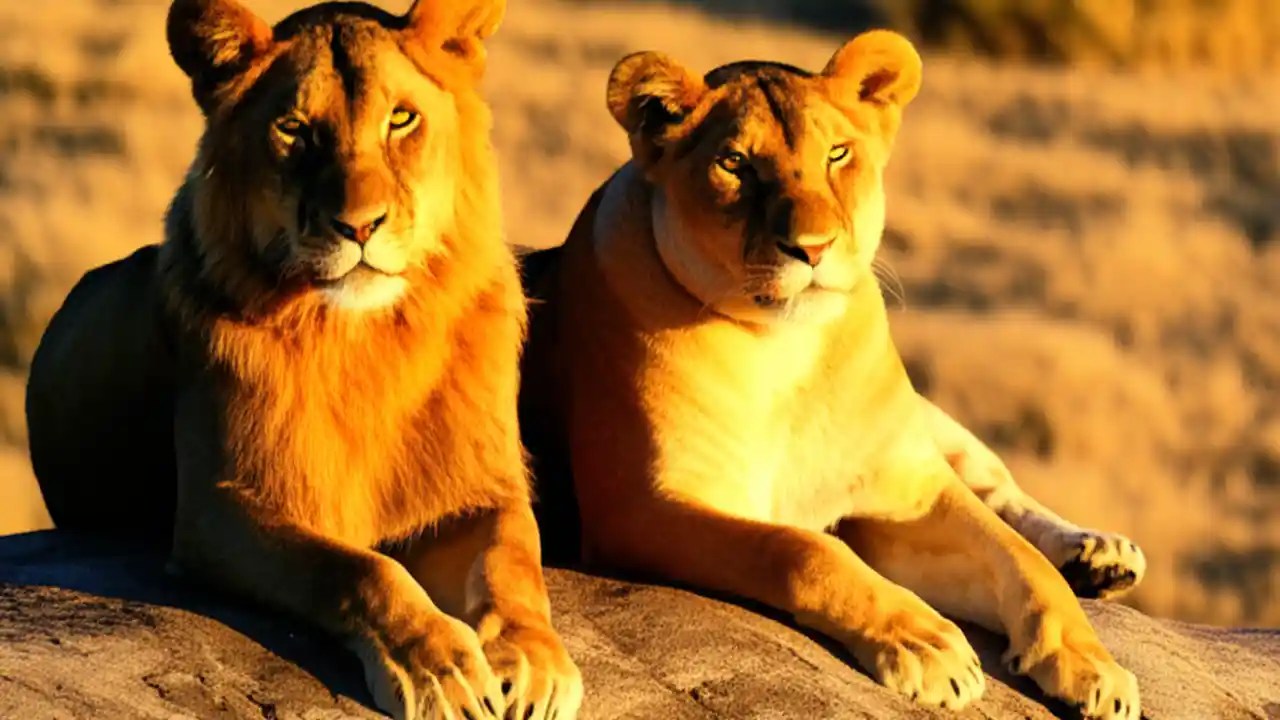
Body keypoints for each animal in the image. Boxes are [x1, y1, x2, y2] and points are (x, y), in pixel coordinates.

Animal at [24, 1, 582, 718]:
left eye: (401, 119)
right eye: (293, 130)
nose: (360, 226)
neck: (368, 336)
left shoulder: (479, 487)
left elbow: (513, 561)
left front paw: (535, 663)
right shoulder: (219, 509)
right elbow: (359, 568)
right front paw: (440, 669)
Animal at [518, 31, 1144, 717]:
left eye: (838, 154)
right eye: (735, 164)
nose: (811, 249)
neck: (785, 350)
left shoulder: (907, 490)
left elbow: (1021, 557)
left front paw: (1092, 663)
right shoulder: (644, 507)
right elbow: (804, 548)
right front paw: (928, 645)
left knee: (995, 484)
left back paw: (1100, 555)